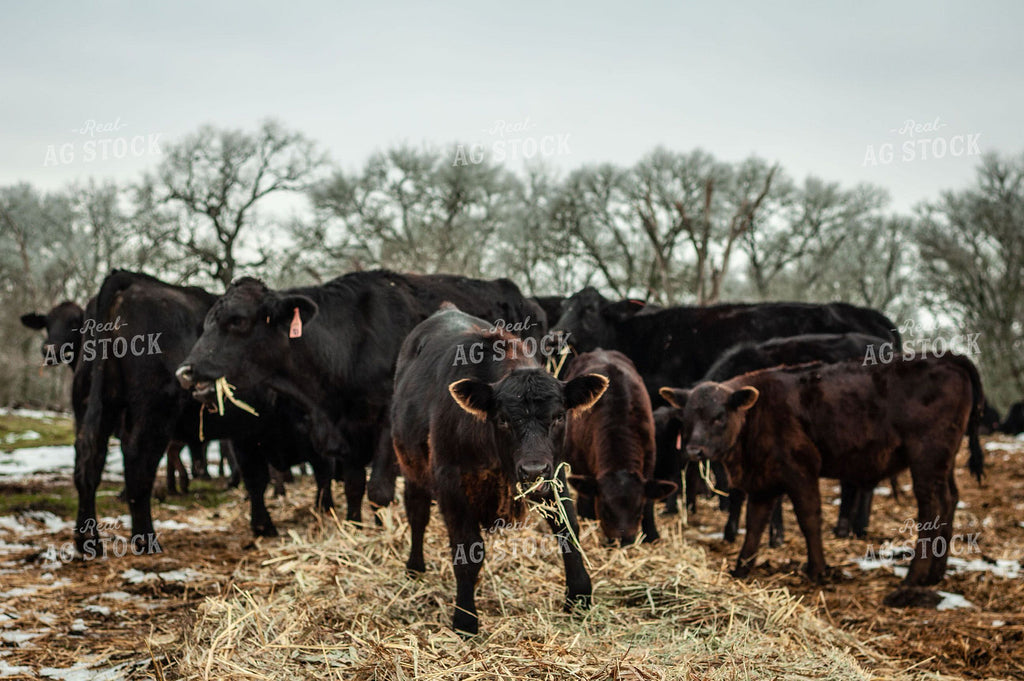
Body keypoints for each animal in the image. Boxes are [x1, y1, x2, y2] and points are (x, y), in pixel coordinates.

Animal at [391, 306, 607, 635]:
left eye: (559, 416)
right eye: (503, 419)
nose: (532, 469)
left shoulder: (555, 473)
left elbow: (568, 529)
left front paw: (579, 595)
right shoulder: (451, 481)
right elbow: (468, 549)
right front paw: (465, 618)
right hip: (411, 465)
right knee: (417, 514)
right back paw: (415, 568)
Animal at [561, 350, 676, 545]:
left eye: (637, 511)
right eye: (605, 510)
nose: (624, 539)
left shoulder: (650, 460)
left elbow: (650, 504)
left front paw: (652, 535)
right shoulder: (578, 464)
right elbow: (586, 498)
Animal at [659, 353, 984, 586]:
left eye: (719, 416)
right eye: (686, 417)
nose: (694, 450)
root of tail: (950, 357)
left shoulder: (800, 469)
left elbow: (809, 519)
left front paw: (817, 570)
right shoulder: (763, 482)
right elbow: (754, 525)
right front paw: (741, 568)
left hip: (927, 458)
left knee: (932, 507)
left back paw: (912, 581)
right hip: (943, 463)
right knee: (950, 500)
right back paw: (934, 576)